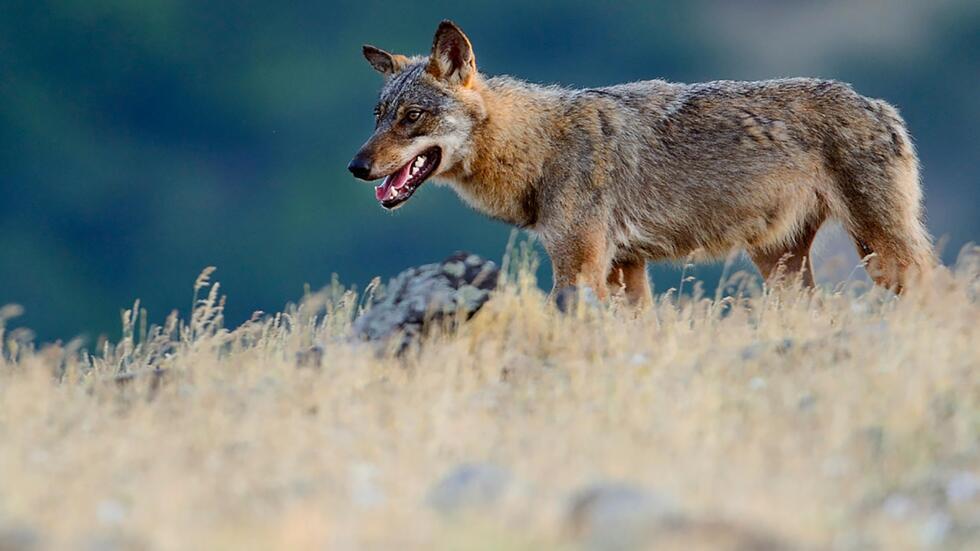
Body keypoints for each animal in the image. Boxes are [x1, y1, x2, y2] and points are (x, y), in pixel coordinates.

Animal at [348, 20, 934, 305]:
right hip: (783, 266)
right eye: (378, 116)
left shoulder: (579, 269)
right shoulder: (626, 269)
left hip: (881, 256)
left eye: (412, 117)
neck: (538, 149)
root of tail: (879, 105)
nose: (356, 167)